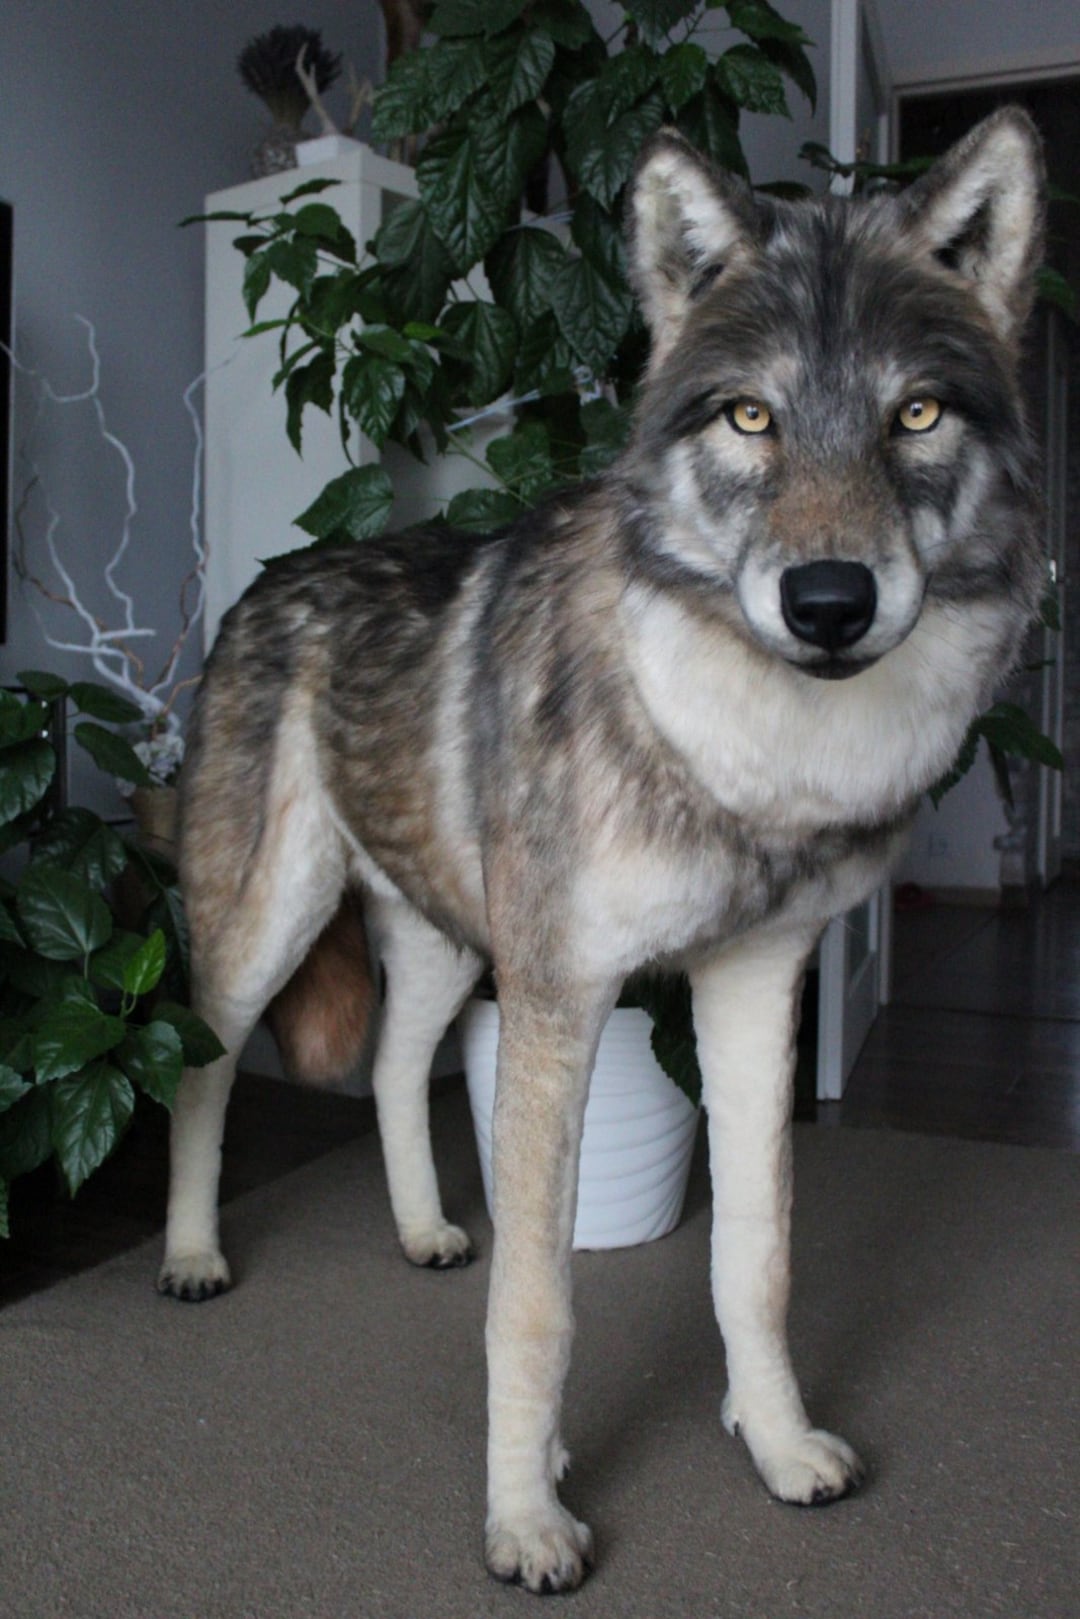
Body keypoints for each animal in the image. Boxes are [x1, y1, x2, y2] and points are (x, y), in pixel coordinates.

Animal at [159, 109, 1045, 1592]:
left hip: (445, 947)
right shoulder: (565, 1000)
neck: (745, 750)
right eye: (750, 416)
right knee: (202, 1072)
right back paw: (188, 1255)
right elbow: (539, 1303)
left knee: (392, 1069)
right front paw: (526, 1520)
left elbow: (756, 1257)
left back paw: (422, 1229)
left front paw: (779, 1445)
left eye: (914, 414)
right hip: (266, 928)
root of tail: (282, 572)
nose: (828, 602)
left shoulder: (753, 983)